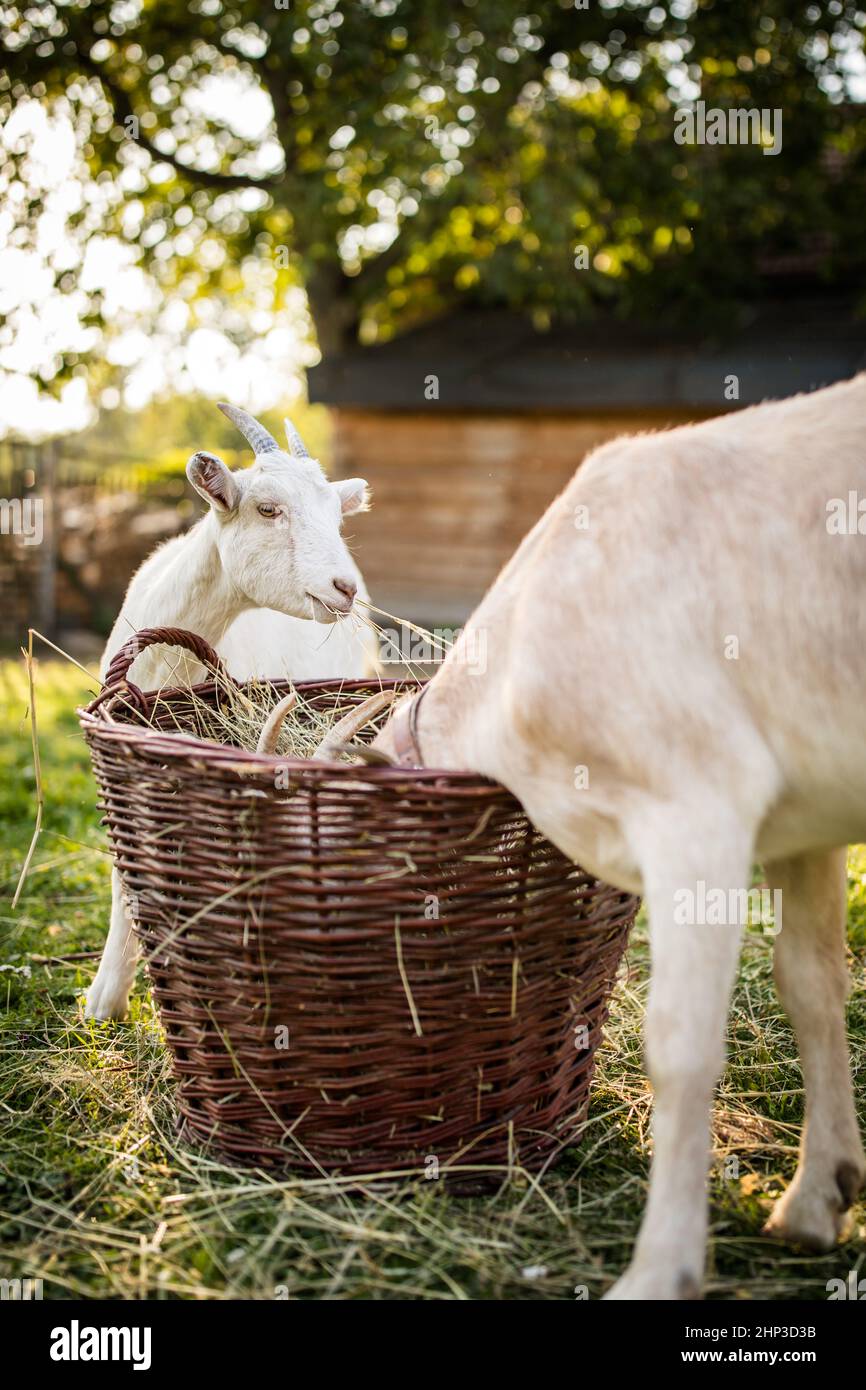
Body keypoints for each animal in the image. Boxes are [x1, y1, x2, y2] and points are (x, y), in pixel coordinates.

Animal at [289, 373, 866, 1299]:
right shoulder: (802, 824)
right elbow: (810, 984)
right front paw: (818, 1199)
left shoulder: (698, 803)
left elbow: (680, 1045)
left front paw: (659, 1268)